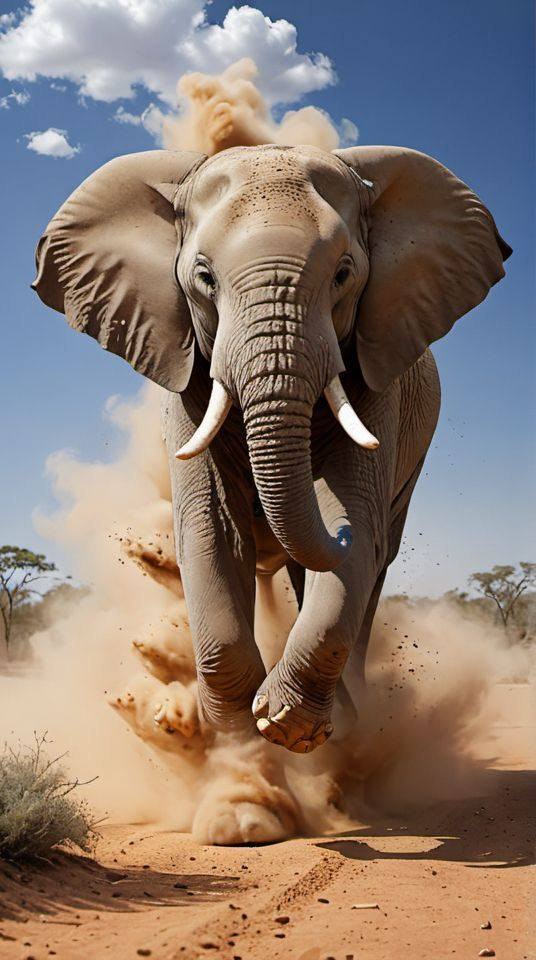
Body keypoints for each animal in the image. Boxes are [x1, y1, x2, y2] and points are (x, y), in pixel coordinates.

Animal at [33, 143, 510, 756]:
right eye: (204, 278)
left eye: (343, 274)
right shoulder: (185, 377)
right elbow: (214, 530)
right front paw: (237, 731)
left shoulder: (377, 381)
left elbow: (354, 523)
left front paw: (286, 725)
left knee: (371, 563)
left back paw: (351, 719)